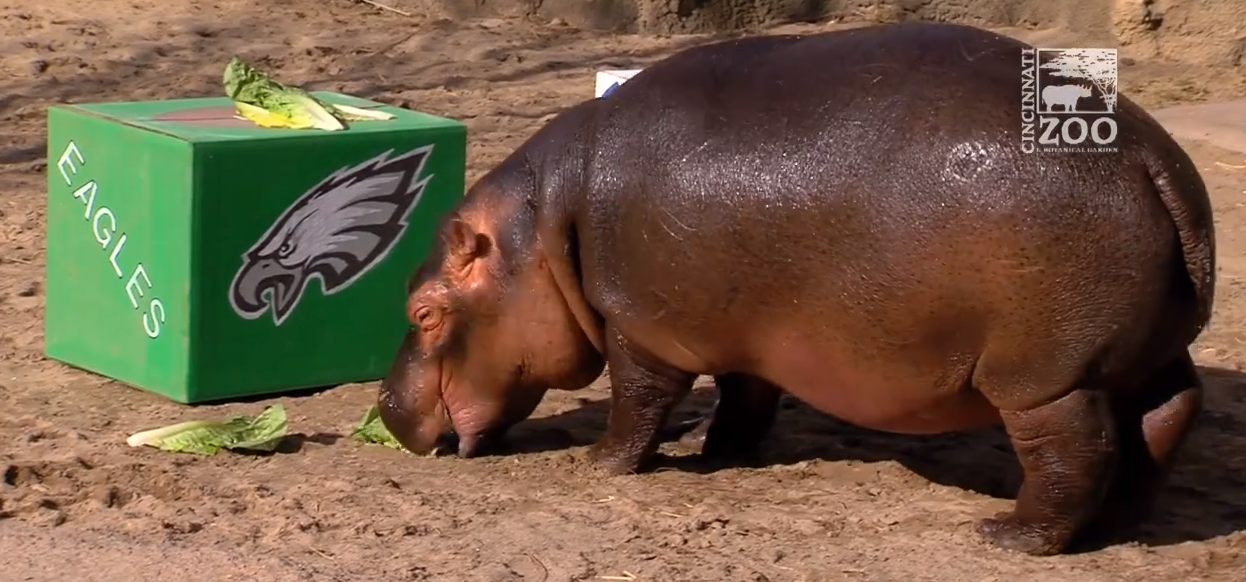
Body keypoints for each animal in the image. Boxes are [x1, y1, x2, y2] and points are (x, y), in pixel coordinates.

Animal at [377, 21, 1215, 556]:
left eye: (422, 310)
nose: (383, 406)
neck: (543, 225)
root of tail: (1152, 159)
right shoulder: (744, 331)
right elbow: (746, 397)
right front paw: (717, 456)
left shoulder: (639, 324)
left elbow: (638, 400)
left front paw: (601, 464)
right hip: (1141, 354)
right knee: (1166, 418)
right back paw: (1120, 529)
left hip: (1044, 374)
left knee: (1077, 447)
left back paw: (1010, 537)